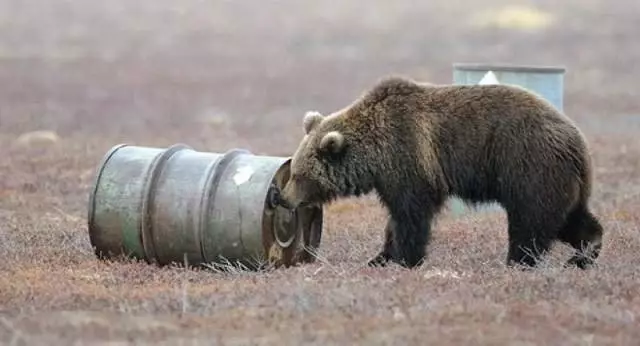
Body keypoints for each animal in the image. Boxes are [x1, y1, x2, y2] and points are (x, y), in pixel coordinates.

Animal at [278, 75, 604, 270]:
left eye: (299, 175)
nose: (283, 197)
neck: (374, 155)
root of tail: (579, 142)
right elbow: (396, 218)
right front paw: (379, 258)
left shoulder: (409, 157)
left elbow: (411, 215)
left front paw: (405, 258)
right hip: (558, 178)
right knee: (567, 218)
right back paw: (583, 253)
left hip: (528, 164)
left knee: (531, 220)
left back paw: (517, 260)